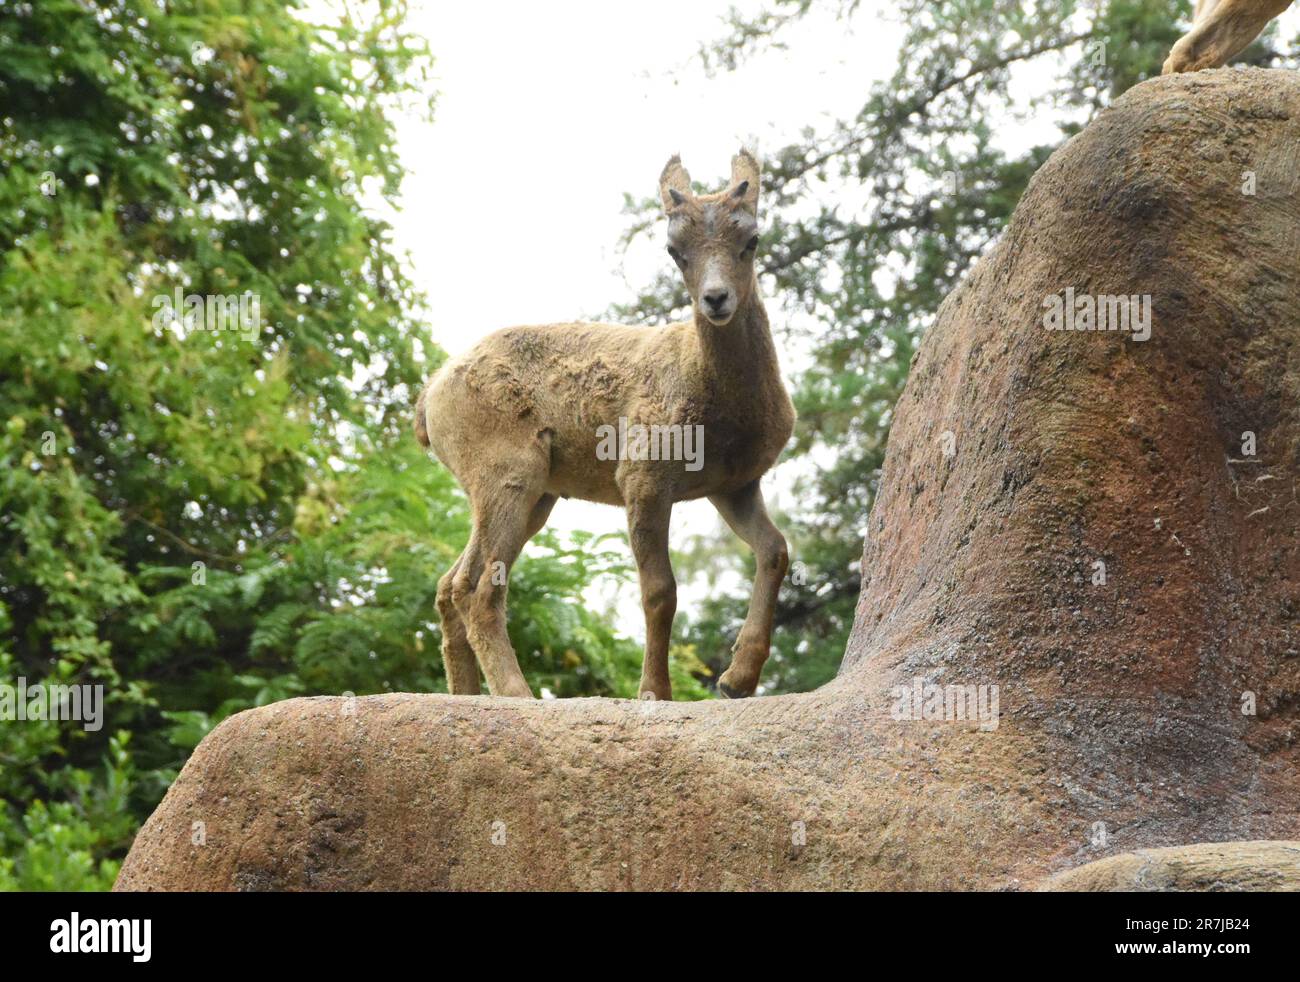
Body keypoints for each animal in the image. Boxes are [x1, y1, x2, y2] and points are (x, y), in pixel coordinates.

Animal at [413, 149, 795, 700]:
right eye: (675, 250)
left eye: (751, 240)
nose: (716, 299)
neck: (707, 383)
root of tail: (431, 395)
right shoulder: (645, 482)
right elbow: (660, 591)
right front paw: (655, 692)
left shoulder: (733, 487)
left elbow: (774, 551)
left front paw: (737, 679)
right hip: (508, 477)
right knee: (477, 588)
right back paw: (518, 695)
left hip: (534, 499)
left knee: (449, 585)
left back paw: (465, 696)